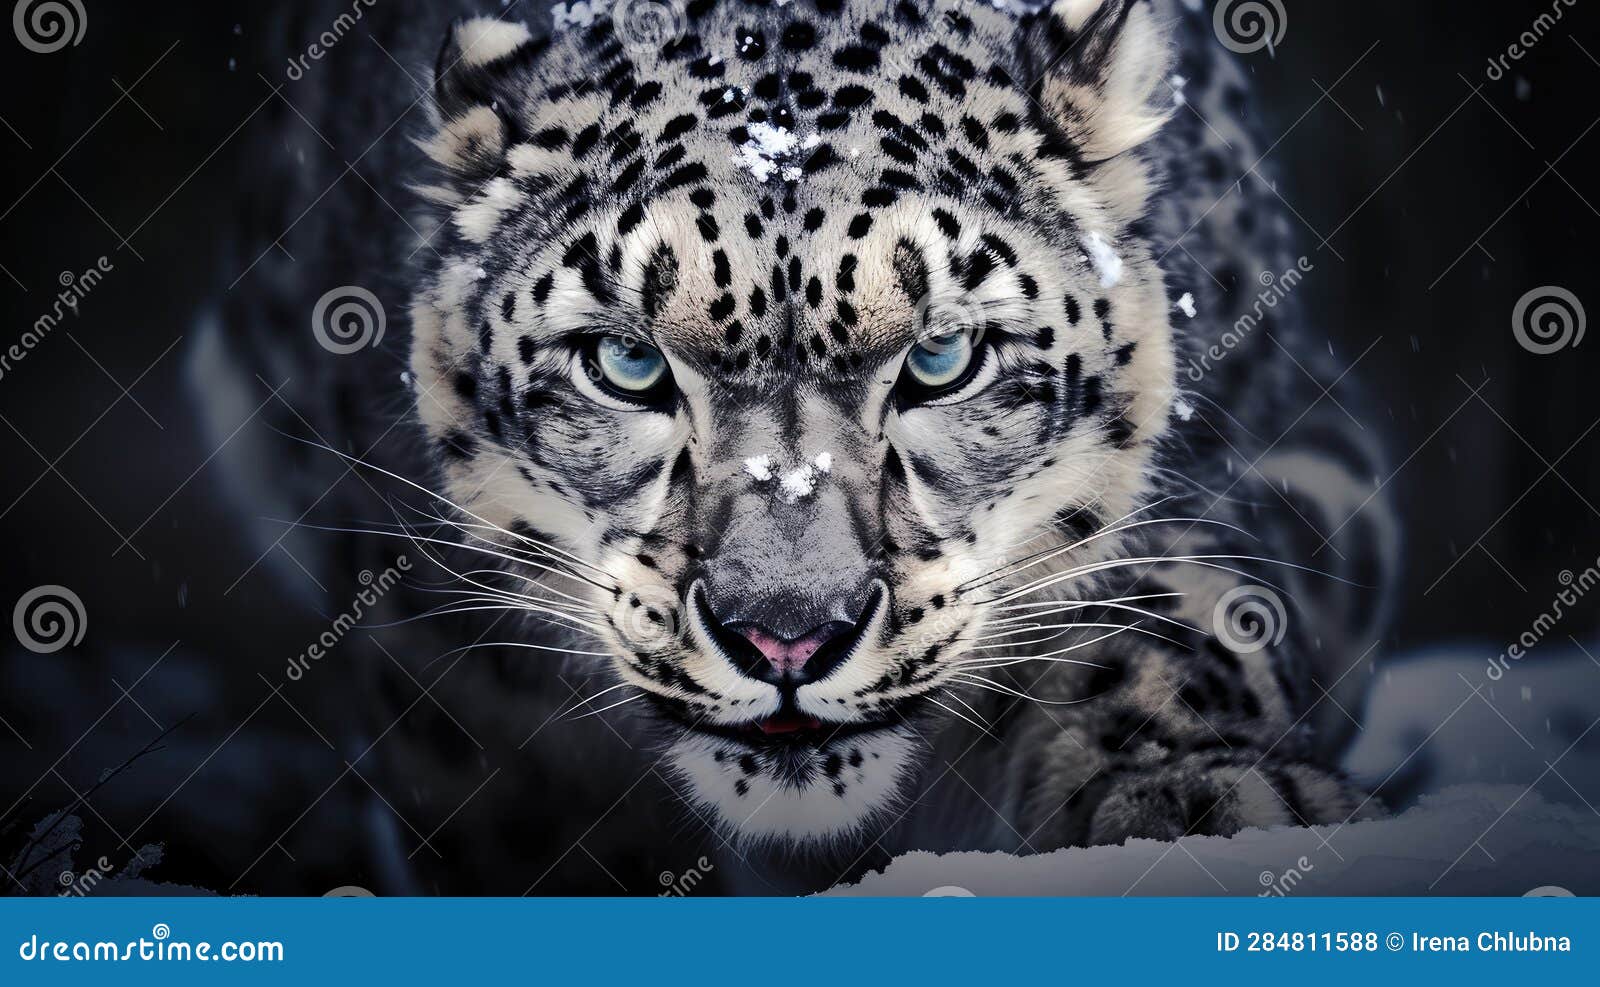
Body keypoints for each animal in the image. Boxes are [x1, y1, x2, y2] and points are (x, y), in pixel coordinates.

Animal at [196, 0, 1398, 894]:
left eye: (943, 356)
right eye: (624, 363)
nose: (785, 637)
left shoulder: (1295, 434)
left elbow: (1189, 603)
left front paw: (1198, 797)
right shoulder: (431, 650)